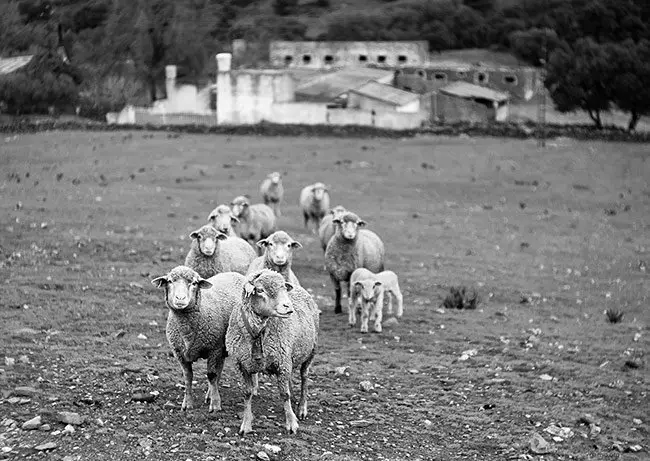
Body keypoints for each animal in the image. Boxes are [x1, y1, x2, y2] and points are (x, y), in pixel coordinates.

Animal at [149, 264, 246, 412]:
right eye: (170, 281)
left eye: (194, 283)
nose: (180, 298)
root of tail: (236, 274)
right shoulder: (179, 353)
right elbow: (188, 377)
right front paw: (187, 403)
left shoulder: (214, 349)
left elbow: (211, 375)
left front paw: (215, 405)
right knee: (220, 368)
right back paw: (209, 395)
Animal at [225, 268, 318, 434]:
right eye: (260, 290)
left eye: (283, 289)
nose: (288, 307)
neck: (258, 333)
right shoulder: (242, 365)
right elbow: (247, 393)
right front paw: (246, 424)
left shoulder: (282, 363)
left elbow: (284, 394)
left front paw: (291, 424)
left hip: (310, 352)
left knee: (304, 378)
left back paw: (301, 408)